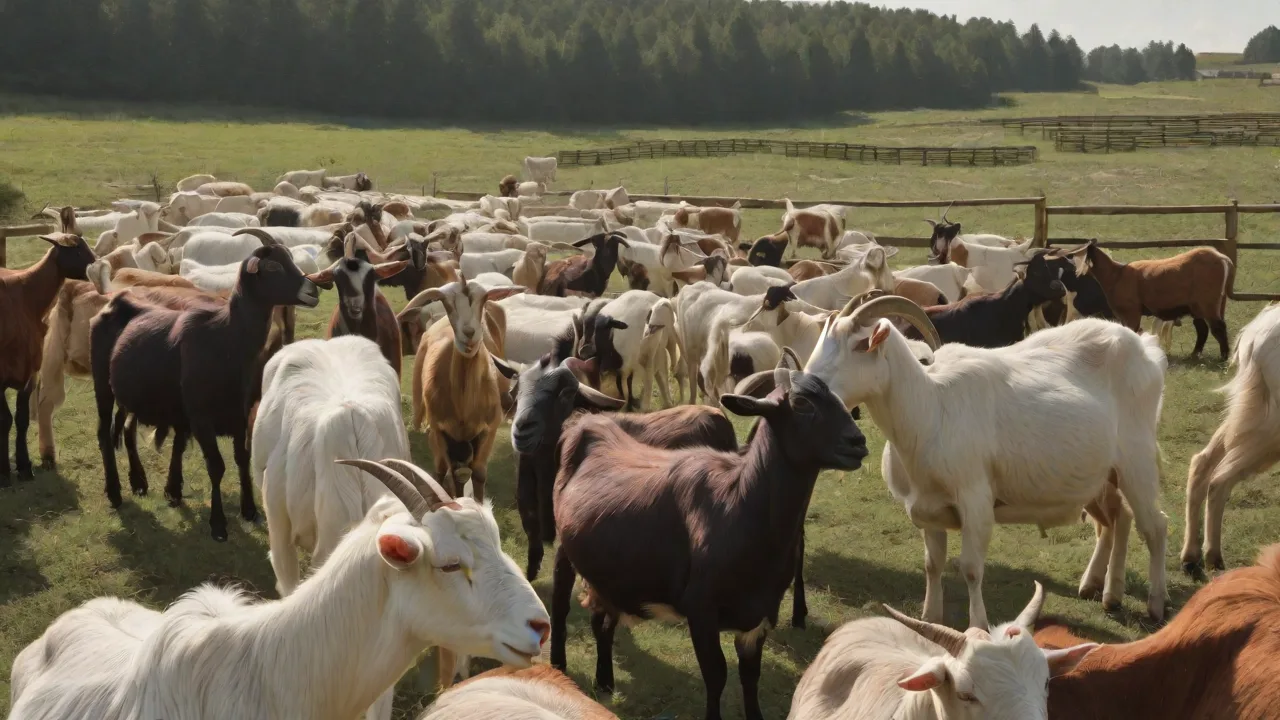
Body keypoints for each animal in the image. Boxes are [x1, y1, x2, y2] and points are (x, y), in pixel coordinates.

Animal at [0, 233, 96, 483]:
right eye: (78, 250)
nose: (97, 265)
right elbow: (5, 419)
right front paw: (4, 473)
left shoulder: (30, 372)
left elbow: (22, 419)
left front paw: (24, 467)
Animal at [90, 234, 321, 541]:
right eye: (272, 266)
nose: (313, 290)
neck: (227, 338)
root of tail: (116, 300)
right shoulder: (201, 417)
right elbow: (216, 466)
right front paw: (218, 524)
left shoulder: (239, 413)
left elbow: (241, 459)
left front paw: (249, 510)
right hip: (102, 385)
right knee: (104, 434)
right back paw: (115, 492)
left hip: (133, 393)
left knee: (126, 427)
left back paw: (139, 481)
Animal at [549, 356, 868, 720]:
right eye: (802, 403)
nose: (858, 442)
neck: (738, 504)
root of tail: (587, 423)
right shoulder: (700, 609)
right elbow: (716, 675)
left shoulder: (759, 614)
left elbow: (750, 676)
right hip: (564, 550)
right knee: (560, 608)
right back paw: (559, 669)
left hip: (609, 573)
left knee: (602, 619)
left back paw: (604, 681)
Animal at [1062, 241, 1234, 359]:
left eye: (1078, 255)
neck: (1115, 275)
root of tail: (1222, 258)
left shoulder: (1131, 311)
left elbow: (1132, 331)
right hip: (1198, 306)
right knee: (1203, 329)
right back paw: (1195, 355)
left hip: (1208, 302)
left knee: (1218, 327)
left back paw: (1224, 357)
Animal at [1180, 303, 1280, 573]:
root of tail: (1256, 334)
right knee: (1220, 479)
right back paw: (1212, 557)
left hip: (1250, 413)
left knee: (1202, 462)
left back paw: (1190, 555)